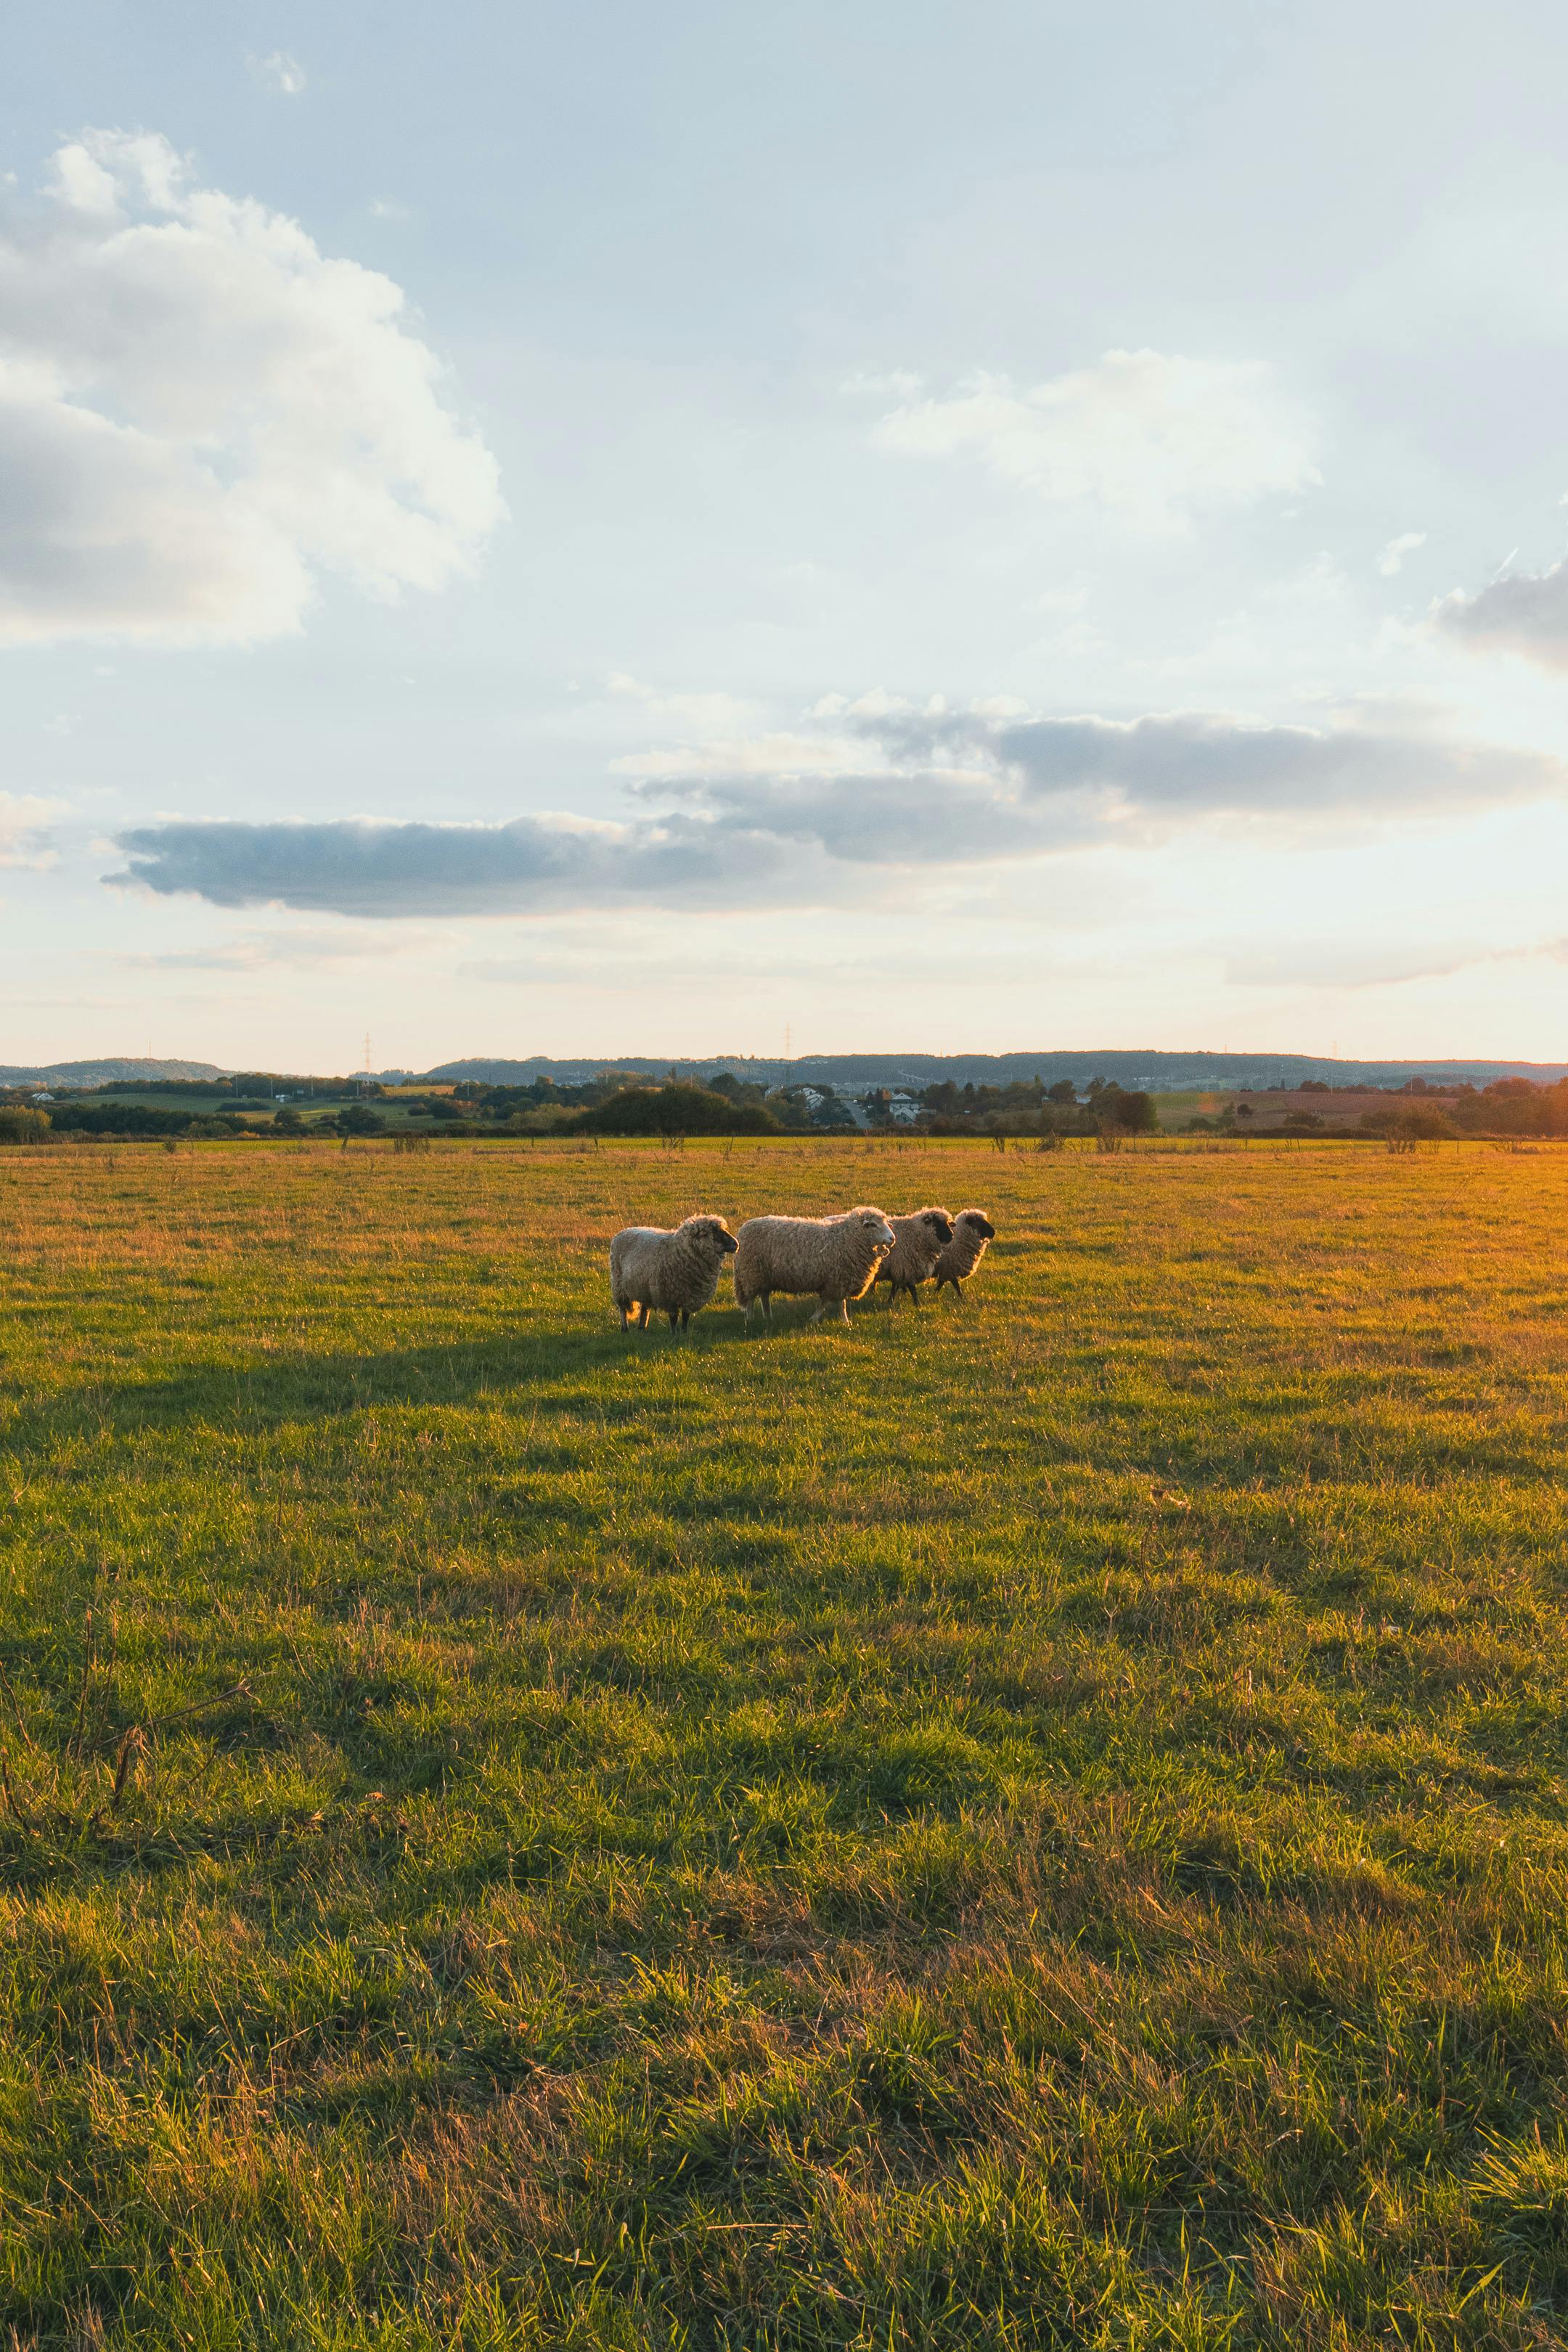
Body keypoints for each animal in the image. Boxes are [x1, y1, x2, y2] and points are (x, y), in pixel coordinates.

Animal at [610, 1213, 738, 1334]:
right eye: (714, 1231)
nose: (736, 1244)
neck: (681, 1252)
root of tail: (624, 1231)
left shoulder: (690, 1297)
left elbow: (686, 1317)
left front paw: (685, 1333)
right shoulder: (670, 1297)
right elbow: (674, 1318)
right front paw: (674, 1334)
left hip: (645, 1288)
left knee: (645, 1308)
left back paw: (642, 1327)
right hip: (619, 1284)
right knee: (623, 1309)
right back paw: (625, 1328)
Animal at [733, 1206, 897, 1326]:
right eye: (873, 1225)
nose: (892, 1238)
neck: (847, 1238)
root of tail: (743, 1229)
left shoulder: (834, 1281)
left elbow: (825, 1302)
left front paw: (816, 1319)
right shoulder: (839, 1280)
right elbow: (838, 1304)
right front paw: (844, 1322)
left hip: (765, 1277)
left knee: (764, 1297)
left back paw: (768, 1317)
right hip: (751, 1274)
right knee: (750, 1300)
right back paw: (751, 1319)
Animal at [871, 1206, 956, 1307]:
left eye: (948, 1223)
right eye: (937, 1222)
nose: (951, 1236)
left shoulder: (899, 1268)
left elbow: (895, 1286)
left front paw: (890, 1301)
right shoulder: (906, 1267)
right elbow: (912, 1289)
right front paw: (918, 1304)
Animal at [931, 1208, 997, 1302]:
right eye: (979, 1222)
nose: (993, 1233)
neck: (958, 1241)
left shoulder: (947, 1270)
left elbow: (942, 1284)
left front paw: (933, 1295)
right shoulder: (949, 1268)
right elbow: (956, 1286)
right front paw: (961, 1299)